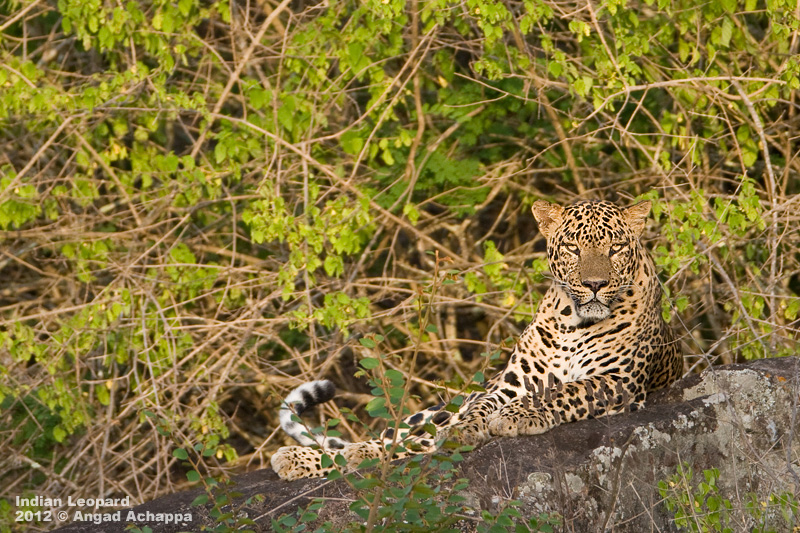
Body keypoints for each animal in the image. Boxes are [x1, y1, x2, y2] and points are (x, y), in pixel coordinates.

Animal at [271, 199, 683, 481]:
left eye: (615, 248)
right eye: (572, 248)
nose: (594, 284)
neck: (574, 322)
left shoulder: (620, 382)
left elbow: (563, 391)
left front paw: (518, 416)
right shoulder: (511, 384)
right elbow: (481, 408)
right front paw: (469, 428)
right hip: (442, 408)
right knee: (404, 440)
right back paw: (309, 457)